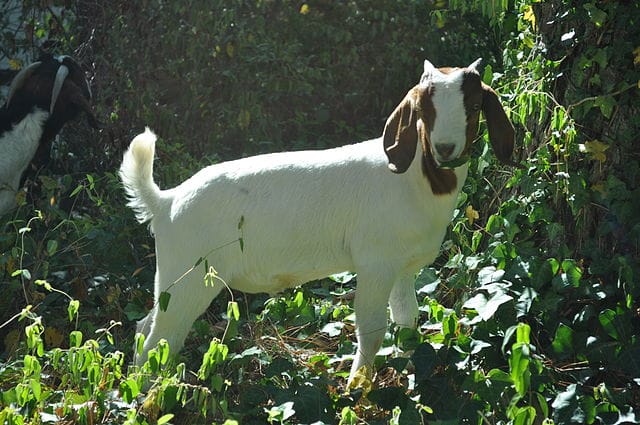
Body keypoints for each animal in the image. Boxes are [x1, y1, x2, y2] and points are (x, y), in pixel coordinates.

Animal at [120, 58, 515, 384]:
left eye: (474, 105)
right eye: (423, 108)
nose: (445, 149)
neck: (417, 178)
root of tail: (166, 202)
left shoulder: (404, 266)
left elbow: (407, 319)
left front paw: (408, 367)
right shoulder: (376, 262)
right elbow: (371, 328)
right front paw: (358, 386)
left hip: (175, 278)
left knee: (145, 326)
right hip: (190, 275)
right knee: (160, 337)